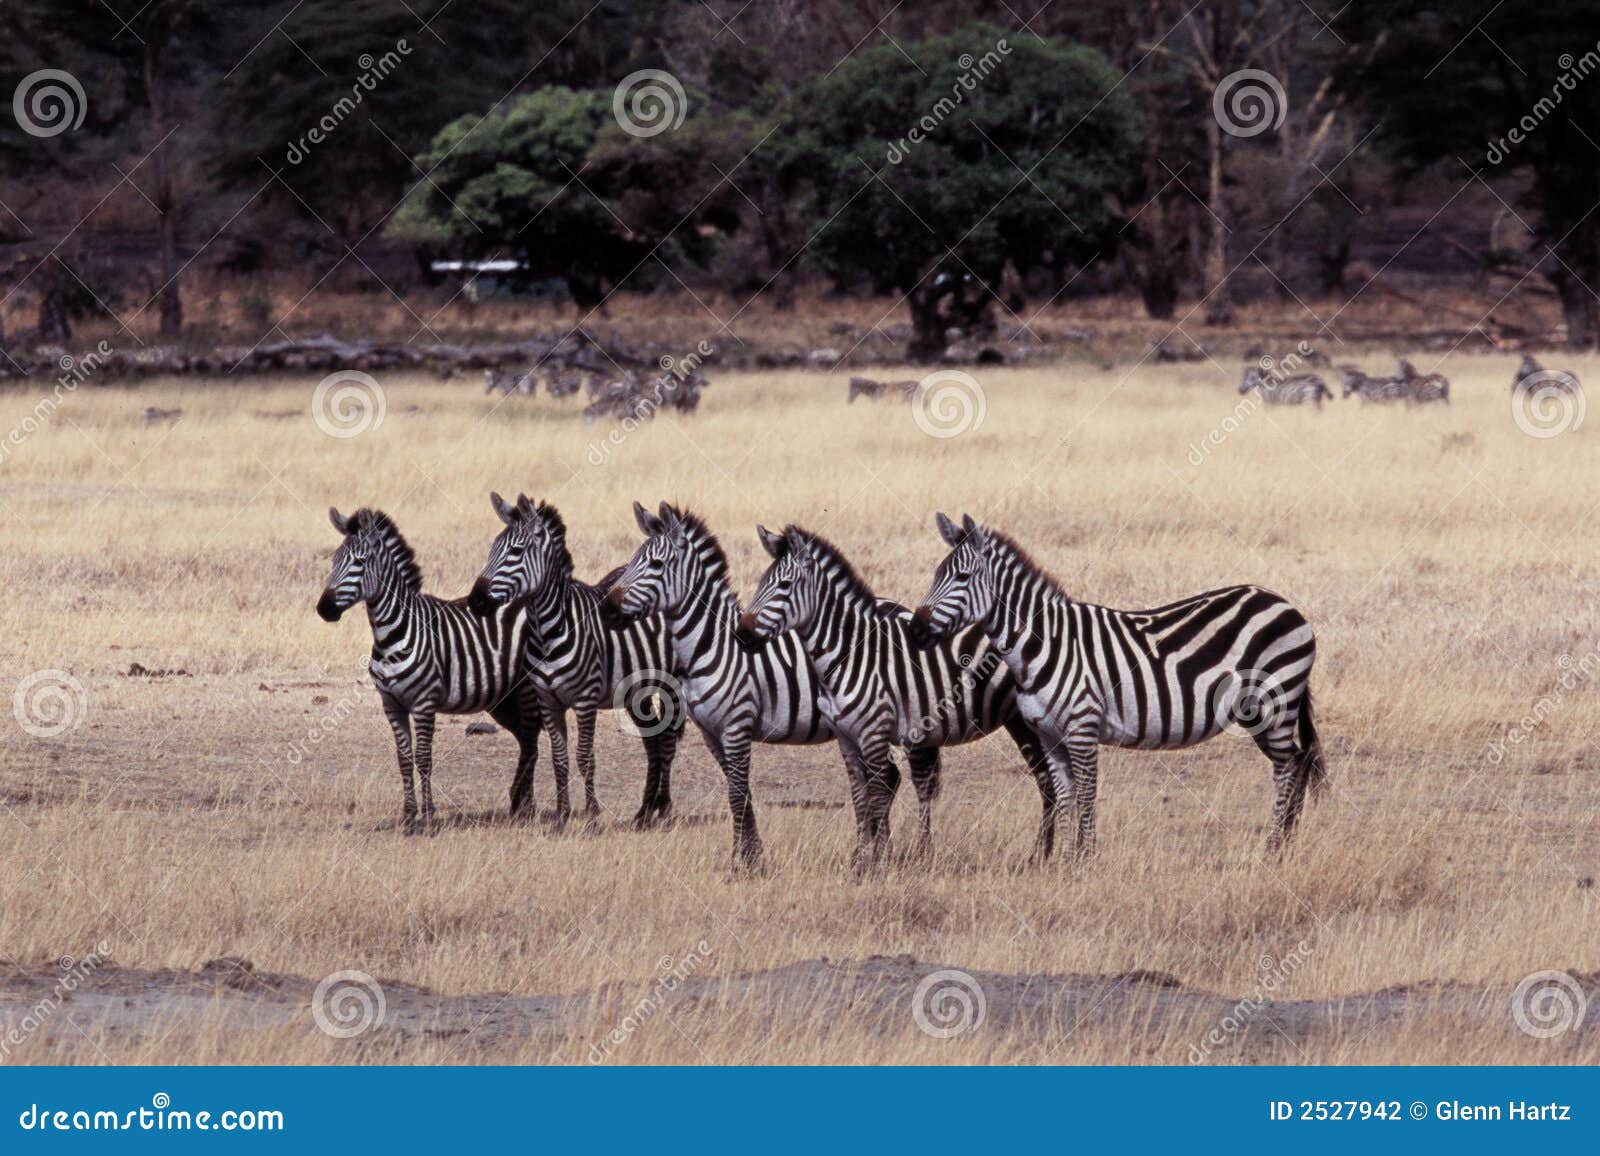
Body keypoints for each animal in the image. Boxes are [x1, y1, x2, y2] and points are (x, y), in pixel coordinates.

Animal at [316, 508, 543, 832]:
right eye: (334, 561)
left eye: (359, 562)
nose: (324, 609)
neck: (393, 632)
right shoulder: (392, 704)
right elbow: (403, 758)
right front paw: (408, 815)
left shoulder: (424, 702)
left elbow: (423, 758)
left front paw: (428, 816)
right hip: (501, 699)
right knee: (525, 738)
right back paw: (519, 804)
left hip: (525, 689)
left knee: (532, 739)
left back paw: (528, 807)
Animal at [467, 493, 685, 828]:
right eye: (492, 549)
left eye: (516, 551)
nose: (475, 601)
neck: (548, 630)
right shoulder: (548, 700)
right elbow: (559, 758)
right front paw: (562, 815)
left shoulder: (585, 699)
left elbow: (585, 756)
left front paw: (592, 815)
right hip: (637, 690)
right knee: (655, 741)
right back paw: (646, 811)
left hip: (670, 683)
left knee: (669, 739)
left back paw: (664, 808)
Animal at [602, 502, 837, 868]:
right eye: (632, 560)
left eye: (655, 564)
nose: (605, 608)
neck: (711, 645)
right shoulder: (713, 733)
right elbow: (740, 791)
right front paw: (751, 853)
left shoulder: (736, 726)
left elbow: (737, 792)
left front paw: (745, 862)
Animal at [736, 524, 1056, 866]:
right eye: (761, 583)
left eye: (784, 585)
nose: (741, 634)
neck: (851, 655)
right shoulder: (846, 738)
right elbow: (859, 796)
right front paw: (861, 858)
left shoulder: (874, 732)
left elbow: (877, 794)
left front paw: (877, 861)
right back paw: (1042, 852)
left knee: (1047, 779)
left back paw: (1041, 853)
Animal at [908, 513, 1324, 858]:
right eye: (935, 575)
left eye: (961, 578)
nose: (915, 630)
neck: (1043, 644)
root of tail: (1283, 603)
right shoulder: (1048, 735)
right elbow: (1065, 796)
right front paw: (1063, 861)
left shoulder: (1082, 726)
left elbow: (1087, 793)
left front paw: (1085, 858)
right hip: (1259, 712)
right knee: (1299, 762)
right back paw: (1287, 843)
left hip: (1275, 702)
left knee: (1287, 767)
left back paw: (1273, 847)